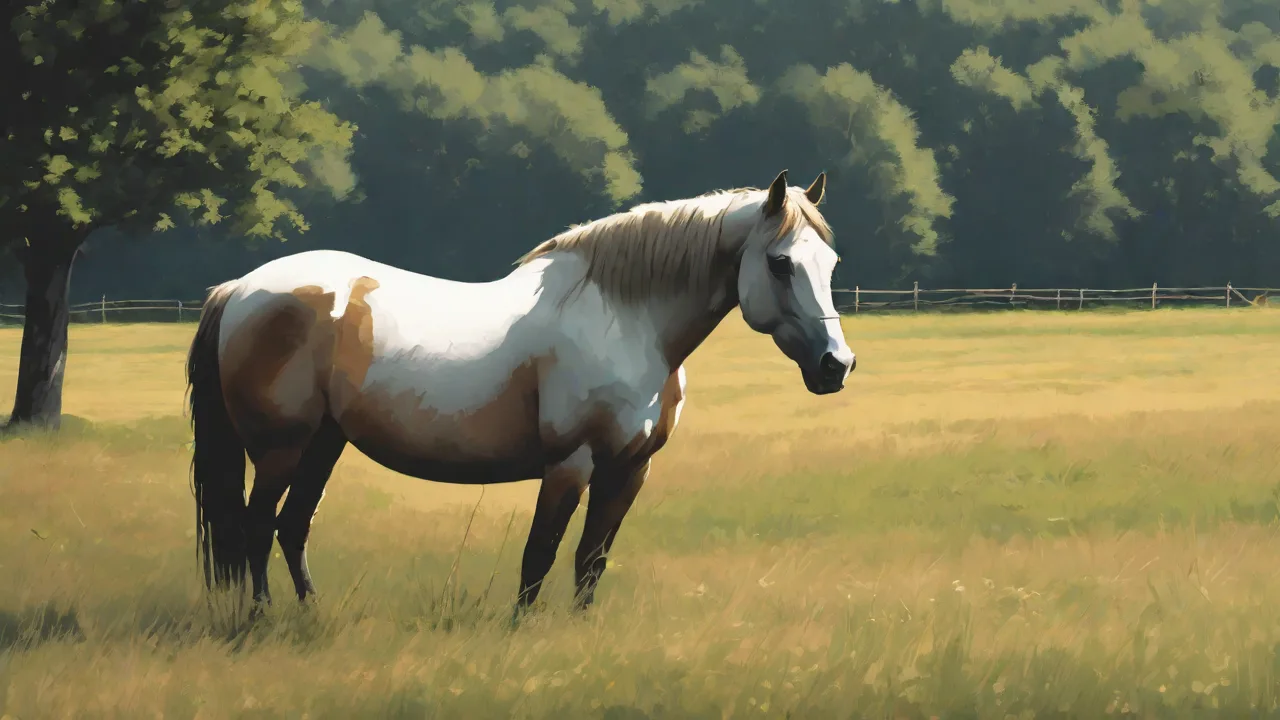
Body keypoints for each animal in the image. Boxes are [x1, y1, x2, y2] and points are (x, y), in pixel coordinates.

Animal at [184, 169, 856, 618]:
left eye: (830, 263)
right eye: (778, 264)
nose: (836, 365)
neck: (626, 319)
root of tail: (240, 288)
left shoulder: (629, 468)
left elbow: (590, 560)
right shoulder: (570, 463)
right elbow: (540, 556)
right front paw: (521, 634)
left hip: (324, 443)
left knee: (291, 527)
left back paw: (312, 616)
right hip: (281, 449)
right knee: (256, 525)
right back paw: (263, 619)